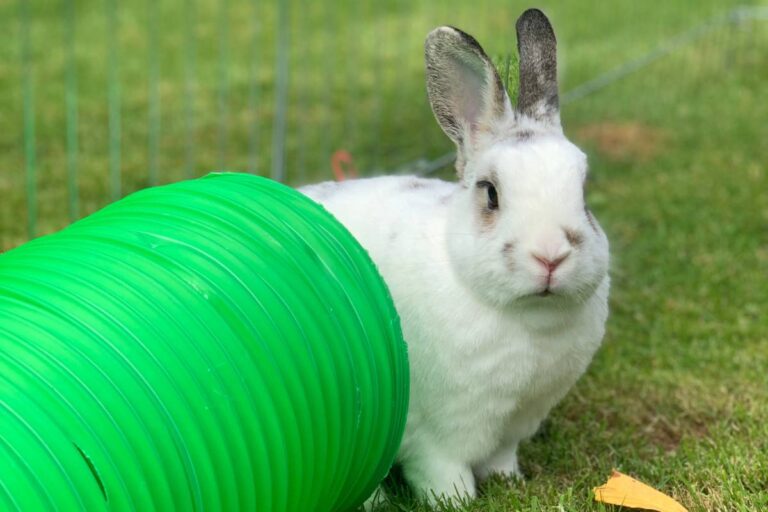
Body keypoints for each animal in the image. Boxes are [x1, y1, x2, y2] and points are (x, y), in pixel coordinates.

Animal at [300, 8, 610, 505]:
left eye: (583, 192)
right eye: (491, 193)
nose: (550, 257)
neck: (529, 320)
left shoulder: (513, 424)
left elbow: (502, 458)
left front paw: (510, 481)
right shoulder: (438, 435)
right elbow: (441, 473)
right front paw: (459, 502)